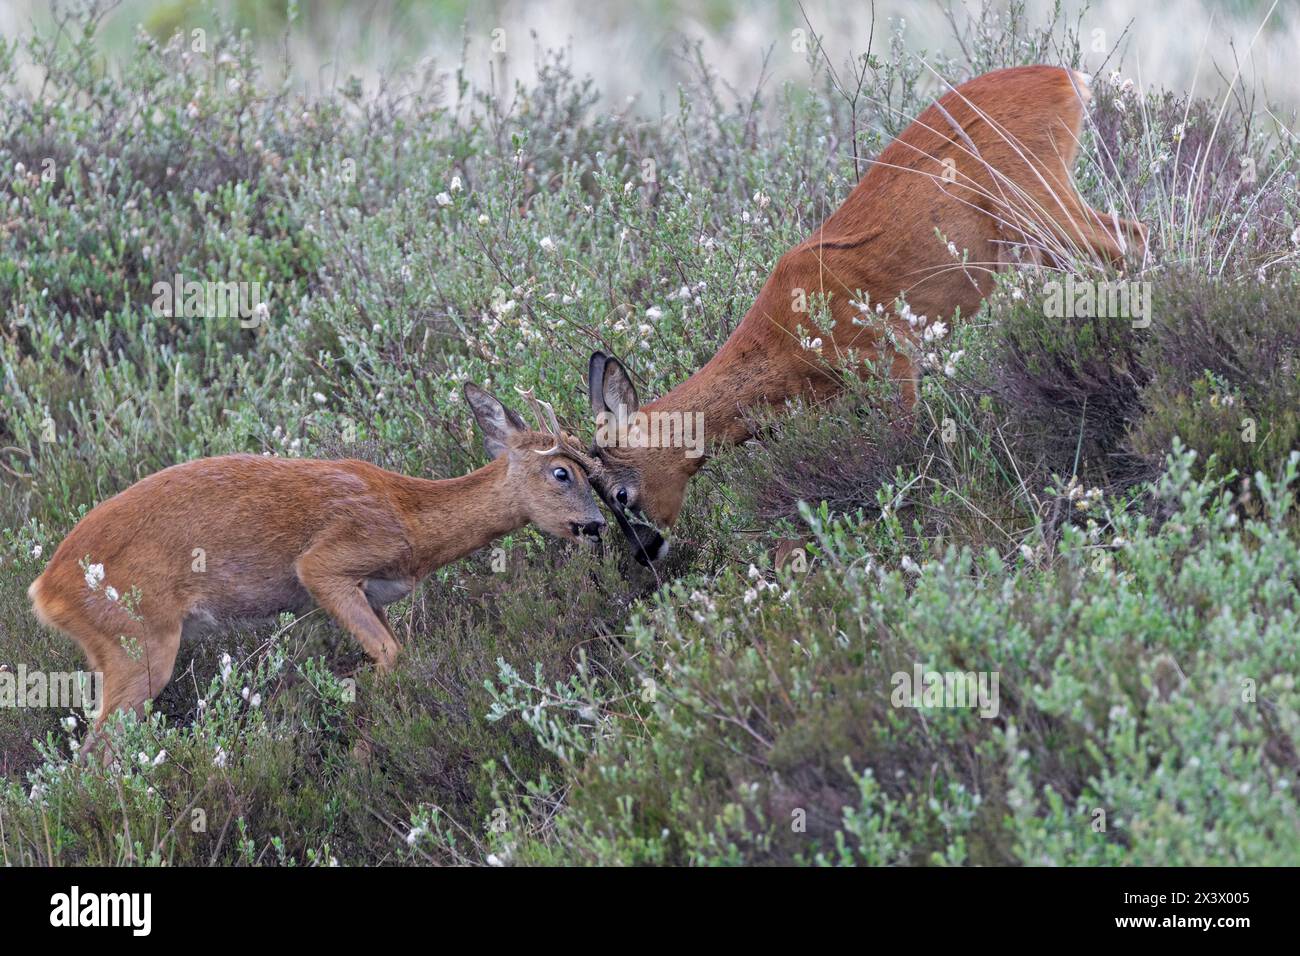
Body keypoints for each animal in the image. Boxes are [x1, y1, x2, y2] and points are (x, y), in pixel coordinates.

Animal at [28, 384, 606, 746]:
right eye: (561, 472)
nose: (599, 524)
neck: (411, 519)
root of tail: (45, 588)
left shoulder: (374, 594)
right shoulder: (328, 563)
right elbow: (389, 654)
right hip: (138, 638)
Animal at [584, 65, 1148, 564]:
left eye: (620, 494)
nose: (643, 553)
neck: (782, 348)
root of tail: (1065, 78)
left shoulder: (888, 355)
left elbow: (905, 455)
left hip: (1037, 202)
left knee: (1133, 239)